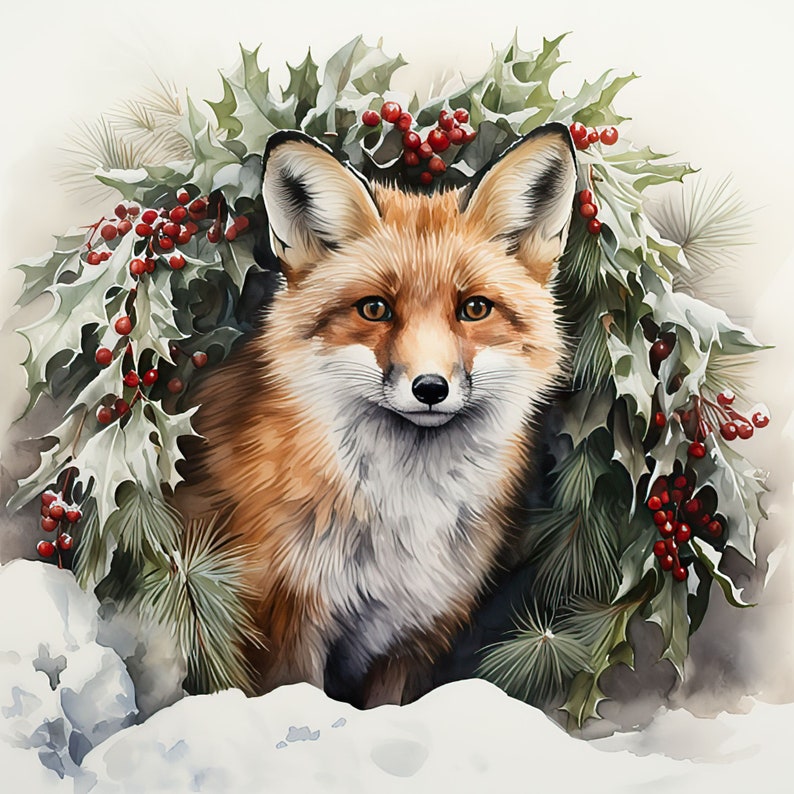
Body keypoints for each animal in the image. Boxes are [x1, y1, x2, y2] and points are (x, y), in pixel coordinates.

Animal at [176, 122, 577, 708]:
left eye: (474, 309)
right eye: (375, 309)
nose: (430, 388)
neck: (406, 511)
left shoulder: (417, 632)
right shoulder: (281, 621)